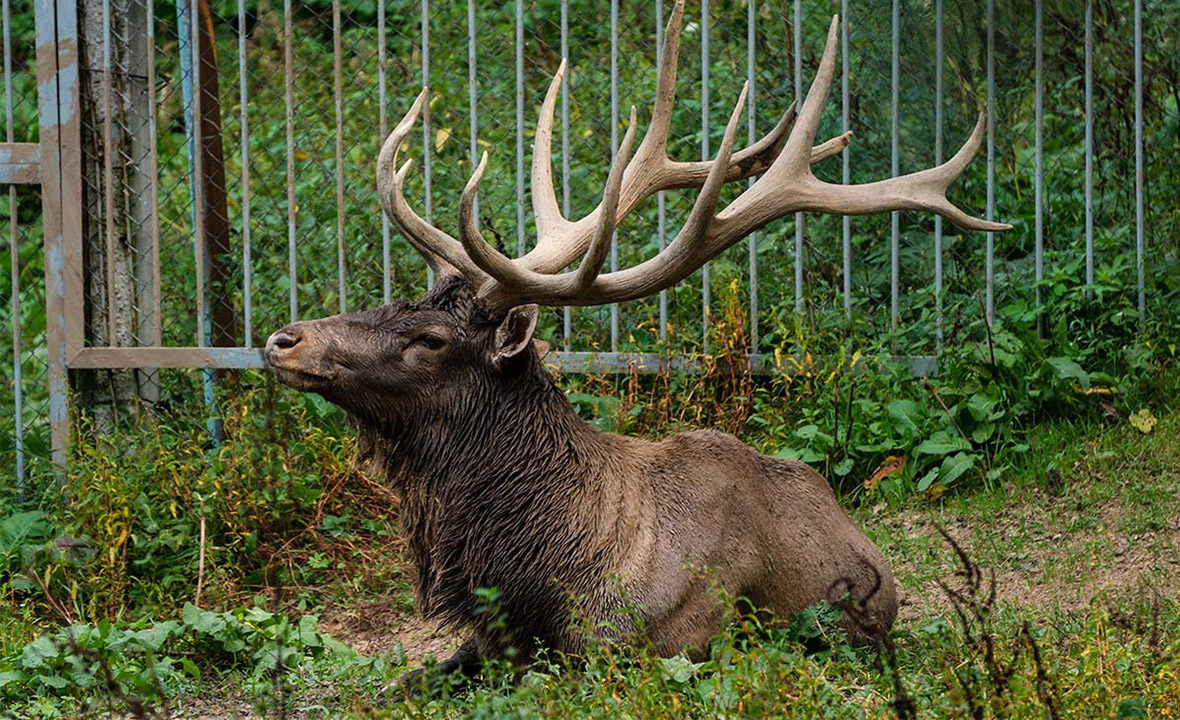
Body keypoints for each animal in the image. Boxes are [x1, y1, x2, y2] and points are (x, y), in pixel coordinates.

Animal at [263, 1, 1010, 684]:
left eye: (431, 337)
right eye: (395, 300)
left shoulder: (644, 649)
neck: (532, 569)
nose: (283, 338)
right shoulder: (484, 643)